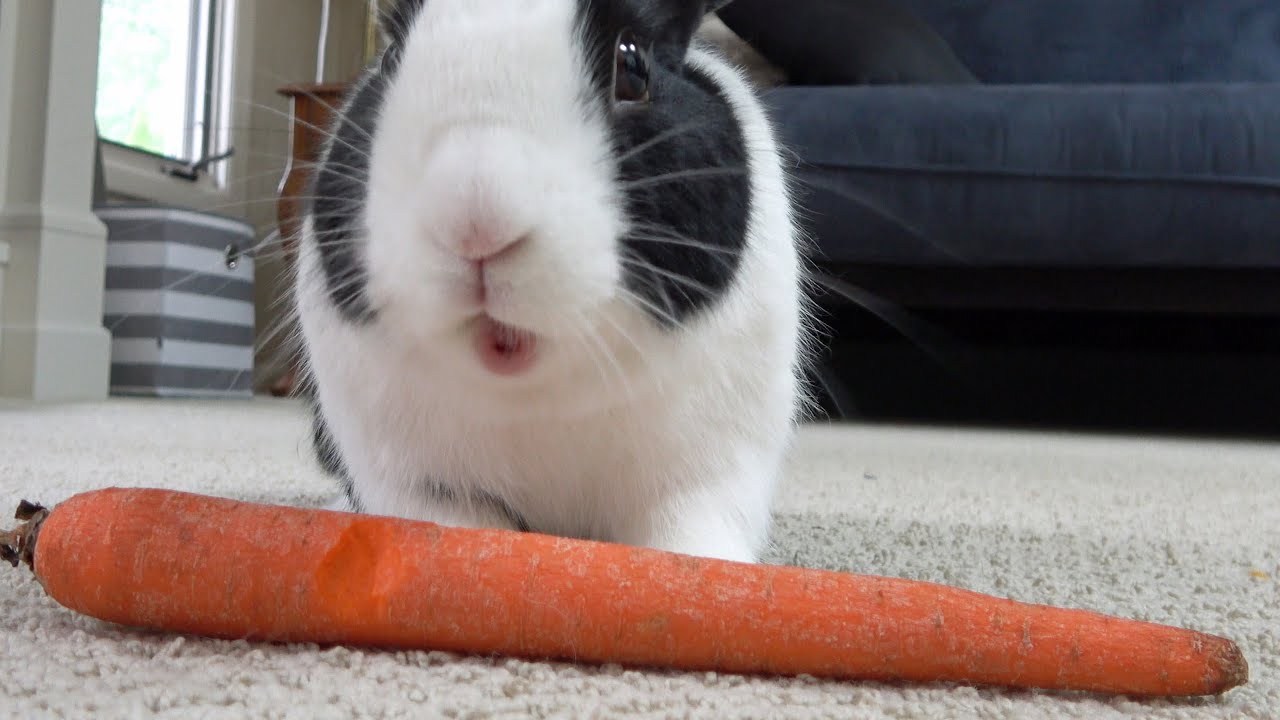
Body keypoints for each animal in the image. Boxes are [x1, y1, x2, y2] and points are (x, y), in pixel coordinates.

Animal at [292, 0, 814, 564]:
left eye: (633, 65)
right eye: (390, 60)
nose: (474, 224)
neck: (533, 395)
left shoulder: (709, 471)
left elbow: (687, 540)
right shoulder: (417, 482)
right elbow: (452, 530)